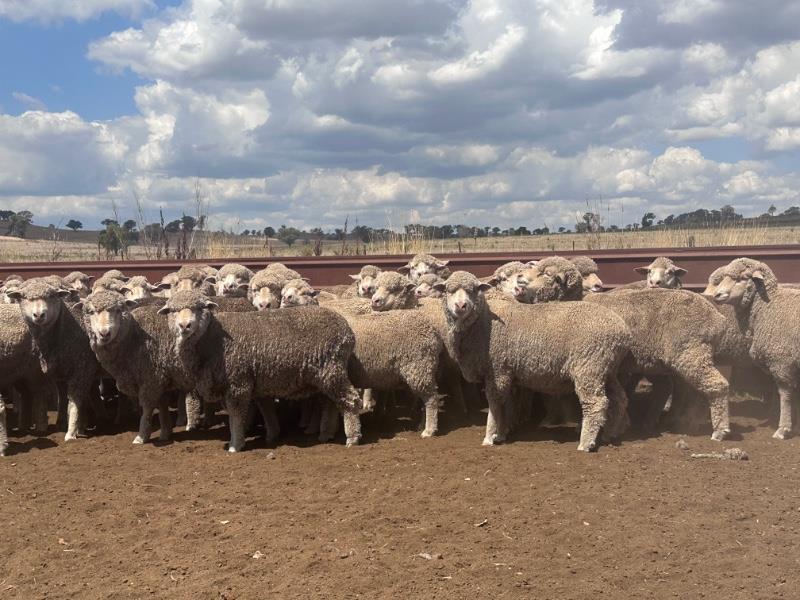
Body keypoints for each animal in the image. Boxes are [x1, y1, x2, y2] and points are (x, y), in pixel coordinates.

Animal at [6, 280, 102, 441]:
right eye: (24, 297)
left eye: (52, 296)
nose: (39, 315)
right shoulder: (61, 373)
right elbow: (63, 398)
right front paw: (68, 424)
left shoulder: (83, 368)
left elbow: (75, 400)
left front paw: (71, 433)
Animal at [158, 290, 363, 451]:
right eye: (172, 311)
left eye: (200, 308)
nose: (185, 326)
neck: (212, 338)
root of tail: (347, 330)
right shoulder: (251, 381)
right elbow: (266, 410)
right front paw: (272, 434)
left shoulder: (238, 383)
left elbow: (235, 416)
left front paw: (235, 444)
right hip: (326, 374)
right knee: (331, 403)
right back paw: (327, 433)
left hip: (332, 370)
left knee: (351, 400)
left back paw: (352, 437)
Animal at [432, 272, 630, 451]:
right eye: (448, 291)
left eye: (473, 290)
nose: (461, 305)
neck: (483, 324)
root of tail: (622, 329)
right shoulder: (508, 372)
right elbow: (507, 404)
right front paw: (501, 434)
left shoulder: (497, 370)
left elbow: (495, 404)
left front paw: (489, 437)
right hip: (606, 370)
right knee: (619, 399)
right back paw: (610, 434)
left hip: (589, 367)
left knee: (596, 403)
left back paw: (585, 443)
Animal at [711, 258, 800, 439]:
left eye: (742, 278)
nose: (717, 295)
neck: (769, 306)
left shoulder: (782, 361)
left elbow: (786, 395)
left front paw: (783, 429)